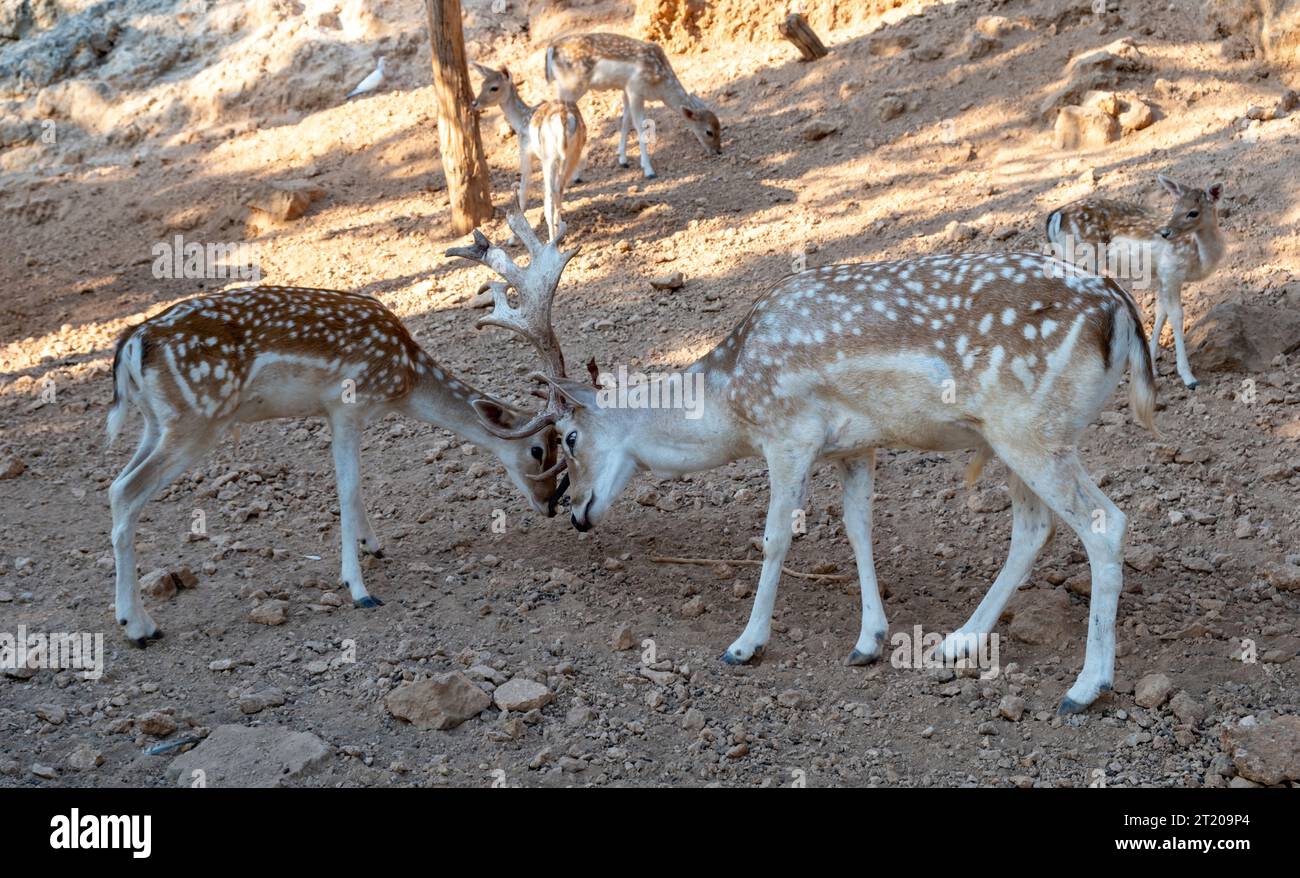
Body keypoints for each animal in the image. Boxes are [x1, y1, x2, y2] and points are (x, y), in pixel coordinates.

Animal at [105, 284, 566, 646]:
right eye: (539, 450)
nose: (549, 504)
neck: (405, 380)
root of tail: (130, 345)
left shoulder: (333, 413)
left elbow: (353, 488)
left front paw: (373, 544)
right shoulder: (349, 405)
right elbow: (348, 487)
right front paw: (359, 589)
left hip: (156, 421)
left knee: (114, 486)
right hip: (197, 419)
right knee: (127, 491)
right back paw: (140, 627)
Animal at [449, 212, 1158, 715]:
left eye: (568, 437)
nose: (574, 513)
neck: (730, 396)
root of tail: (1121, 311)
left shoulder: (787, 434)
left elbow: (773, 538)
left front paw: (744, 645)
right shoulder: (854, 444)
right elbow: (859, 528)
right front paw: (869, 641)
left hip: (1032, 432)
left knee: (1106, 523)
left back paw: (1085, 687)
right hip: (1021, 439)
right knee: (1035, 528)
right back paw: (957, 642)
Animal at [471, 63, 587, 244]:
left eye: (494, 87)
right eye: (482, 84)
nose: (474, 103)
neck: (520, 122)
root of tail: (567, 119)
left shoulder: (524, 151)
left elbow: (524, 191)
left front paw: (512, 239)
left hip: (549, 156)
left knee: (550, 194)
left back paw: (551, 238)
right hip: (574, 153)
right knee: (559, 189)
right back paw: (558, 231)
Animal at [544, 32, 721, 179]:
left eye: (720, 126)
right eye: (709, 132)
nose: (718, 151)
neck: (660, 86)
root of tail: (551, 49)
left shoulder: (626, 90)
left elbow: (625, 121)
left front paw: (623, 160)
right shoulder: (636, 90)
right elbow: (640, 126)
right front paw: (649, 171)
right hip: (571, 87)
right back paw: (573, 176)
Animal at [1045, 175, 1225, 390]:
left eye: (1193, 212)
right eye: (1175, 207)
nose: (1165, 232)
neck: (1199, 258)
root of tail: (1055, 216)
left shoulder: (1160, 278)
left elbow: (1160, 313)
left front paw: (1153, 368)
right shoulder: (1171, 273)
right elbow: (1176, 316)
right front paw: (1189, 377)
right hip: (1082, 259)